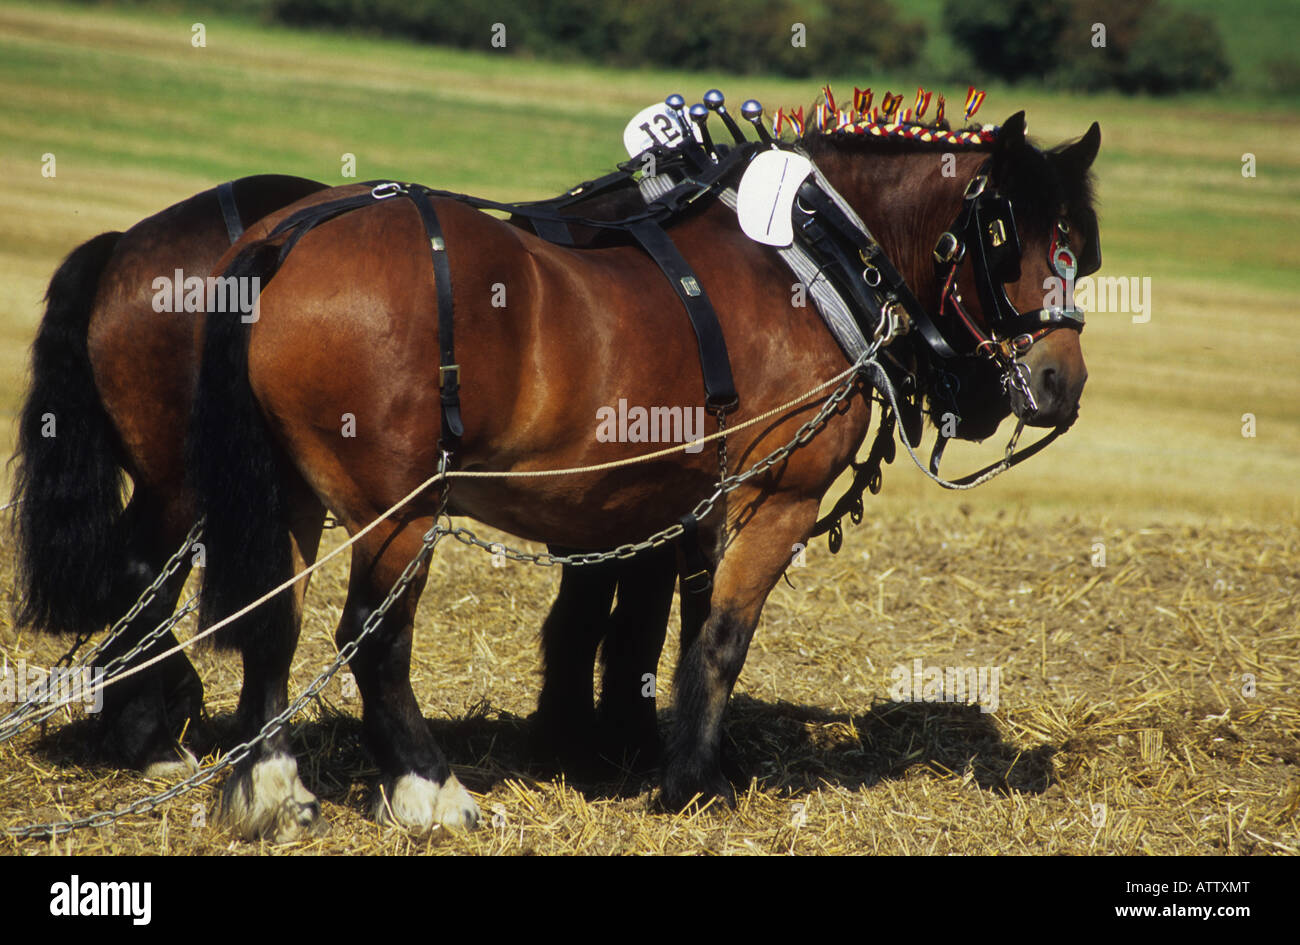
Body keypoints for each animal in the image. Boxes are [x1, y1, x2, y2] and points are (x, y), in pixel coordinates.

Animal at [187, 109, 1101, 837]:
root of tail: (287, 238)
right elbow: (723, 638)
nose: (1061, 381)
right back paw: (431, 790)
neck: (814, 257)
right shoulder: (778, 496)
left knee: (275, 625)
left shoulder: (700, 505)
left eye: (1079, 252)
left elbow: (683, 630)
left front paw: (696, 759)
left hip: (293, 495)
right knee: (371, 640)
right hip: (396, 508)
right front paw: (692, 783)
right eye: (1003, 237)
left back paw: (270, 789)